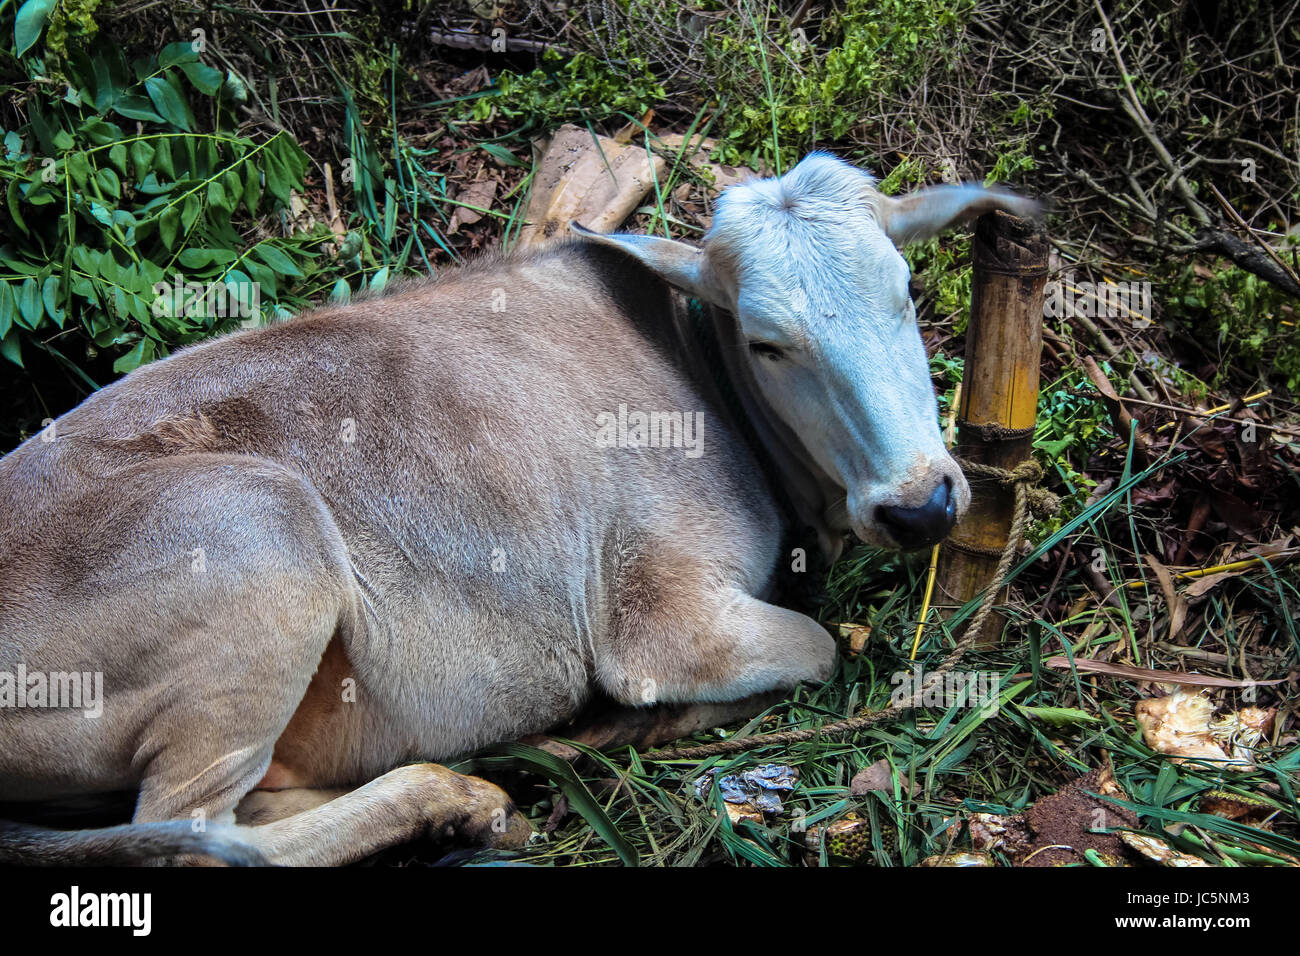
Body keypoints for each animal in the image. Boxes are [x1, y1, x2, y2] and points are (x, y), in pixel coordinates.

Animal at [0, 152, 1036, 864]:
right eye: (767, 341)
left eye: (905, 292)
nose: (920, 505)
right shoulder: (659, 625)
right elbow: (816, 651)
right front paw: (632, 726)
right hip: (261, 533)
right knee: (195, 836)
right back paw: (452, 795)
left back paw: (471, 800)